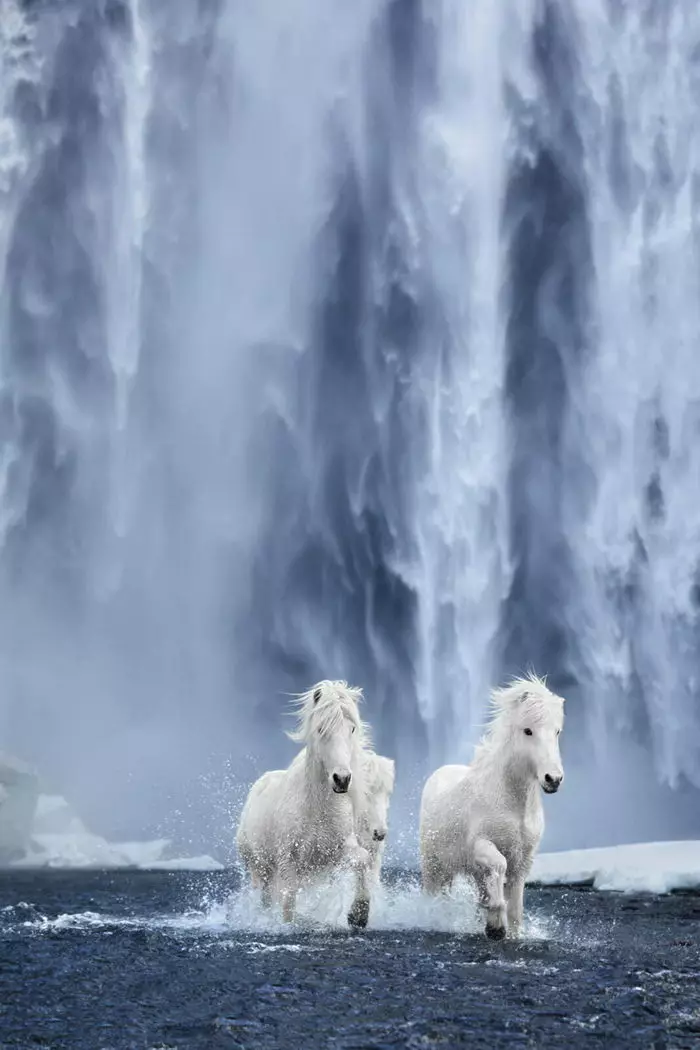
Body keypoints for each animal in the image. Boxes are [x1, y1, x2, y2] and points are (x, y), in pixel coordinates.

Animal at [238, 680, 371, 919]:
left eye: (352, 728)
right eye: (321, 728)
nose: (342, 779)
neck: (317, 809)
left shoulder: (335, 852)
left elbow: (363, 859)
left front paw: (359, 915)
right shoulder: (287, 860)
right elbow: (288, 903)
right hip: (261, 868)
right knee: (266, 897)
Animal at [421, 676, 562, 940]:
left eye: (557, 731)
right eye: (528, 730)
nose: (553, 779)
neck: (511, 803)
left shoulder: (523, 860)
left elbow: (516, 906)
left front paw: (508, 930)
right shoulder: (481, 845)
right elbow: (499, 865)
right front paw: (495, 925)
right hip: (434, 865)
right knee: (435, 893)